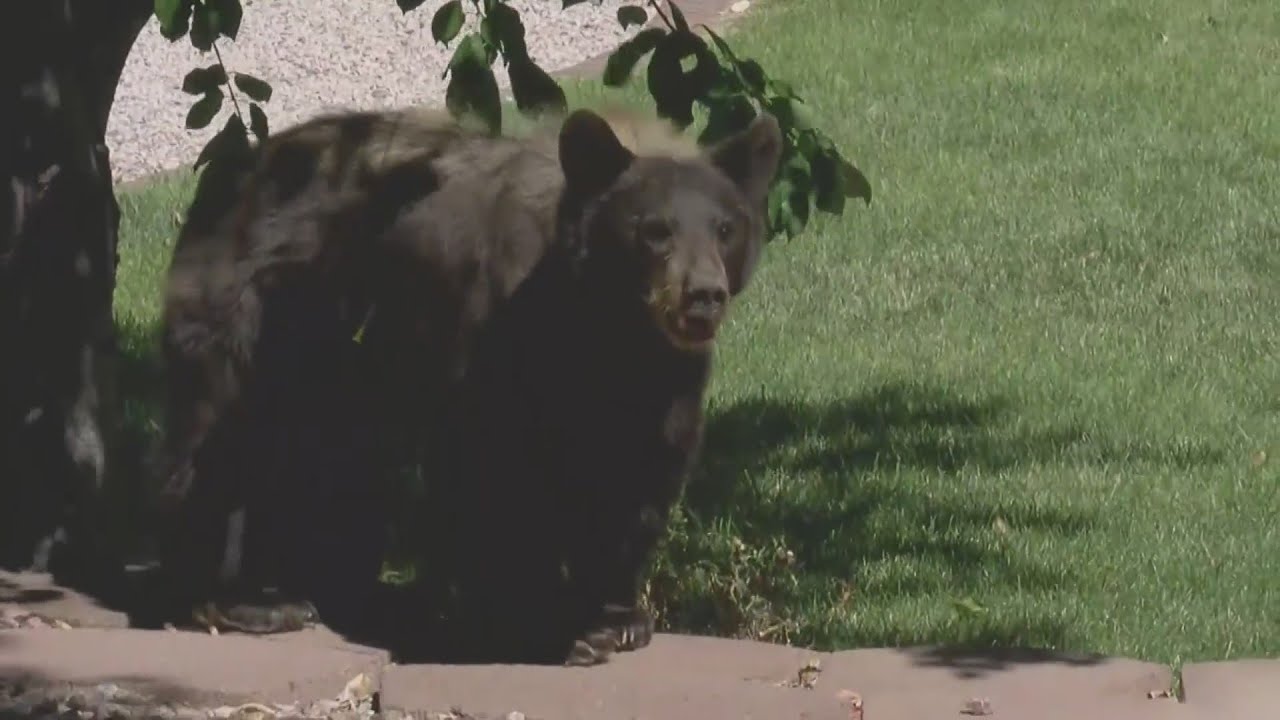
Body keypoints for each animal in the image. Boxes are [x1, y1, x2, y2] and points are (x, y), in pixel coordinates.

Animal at [153, 103, 783, 665]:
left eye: (726, 229)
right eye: (654, 231)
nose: (703, 295)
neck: (602, 318)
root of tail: (239, 165)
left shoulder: (660, 373)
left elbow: (638, 466)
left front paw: (616, 615)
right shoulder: (496, 331)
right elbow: (495, 468)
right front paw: (542, 626)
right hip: (256, 298)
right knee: (223, 435)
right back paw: (237, 601)